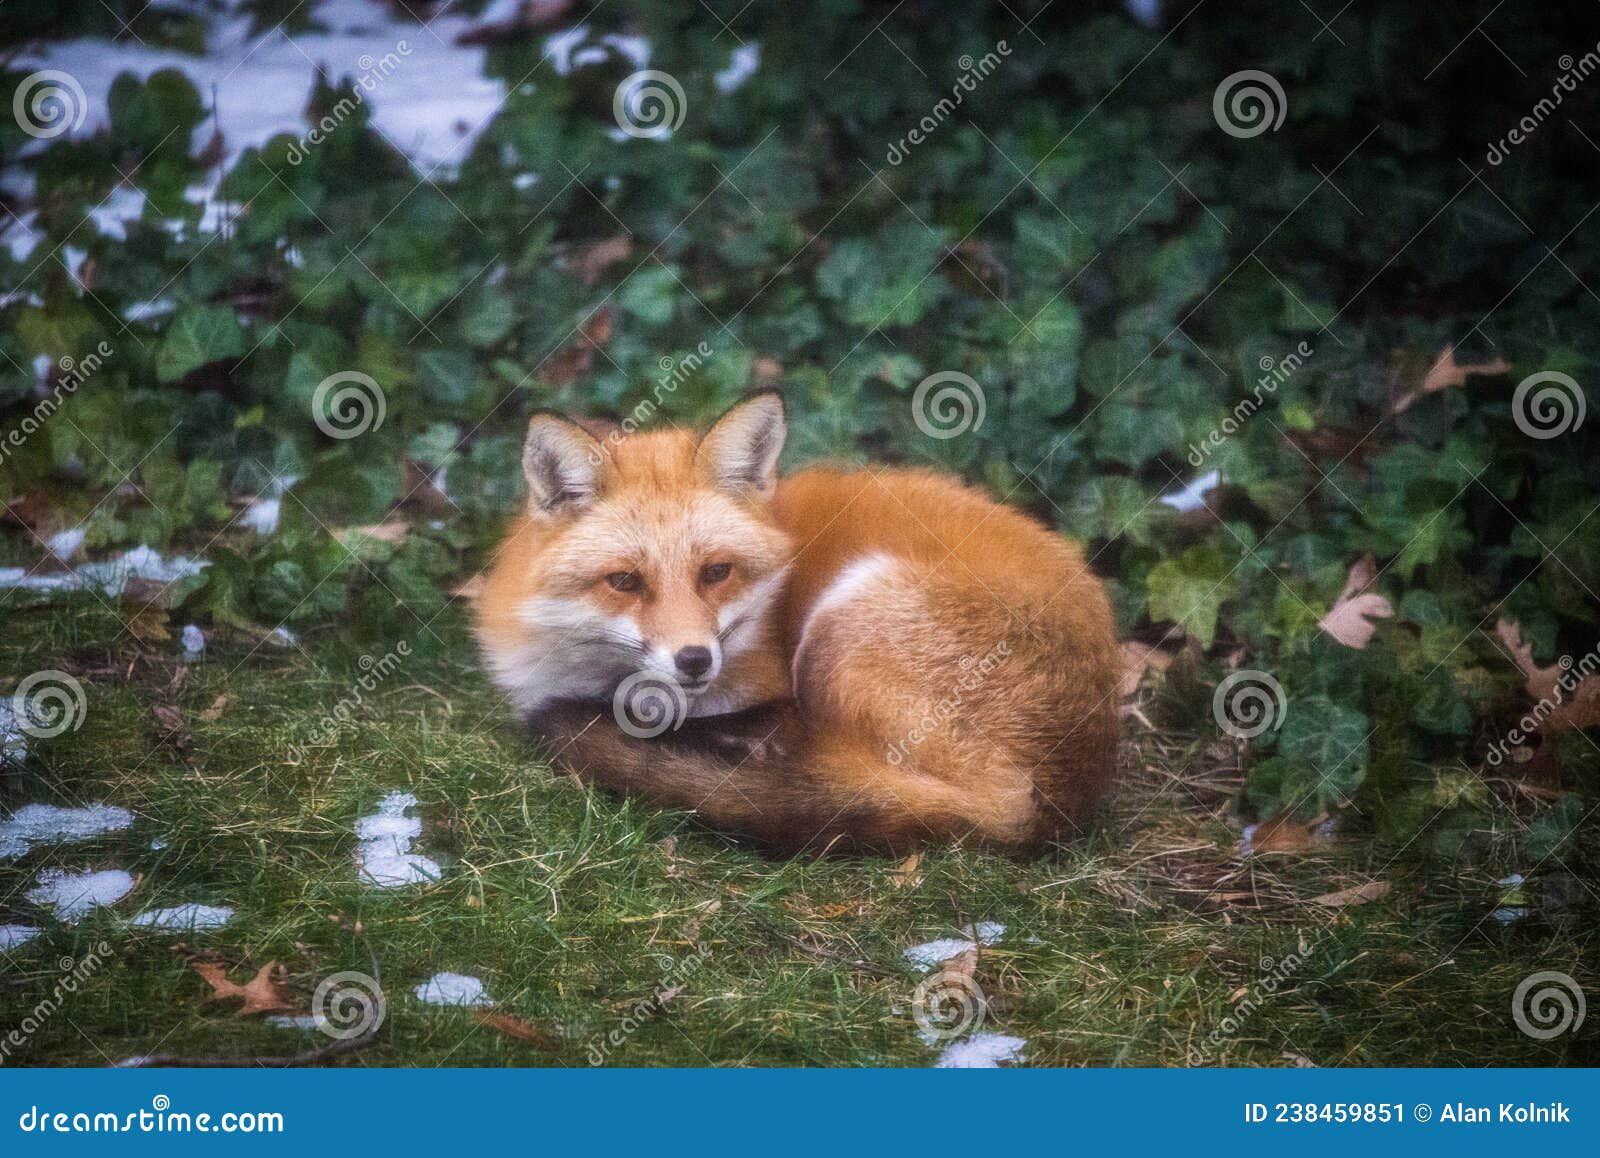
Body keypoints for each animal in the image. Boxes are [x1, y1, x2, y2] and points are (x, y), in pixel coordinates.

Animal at [474, 391, 1120, 854]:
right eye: (625, 582)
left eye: (716, 572)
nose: (695, 660)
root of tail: (1045, 803)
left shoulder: (767, 683)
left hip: (843, 625)